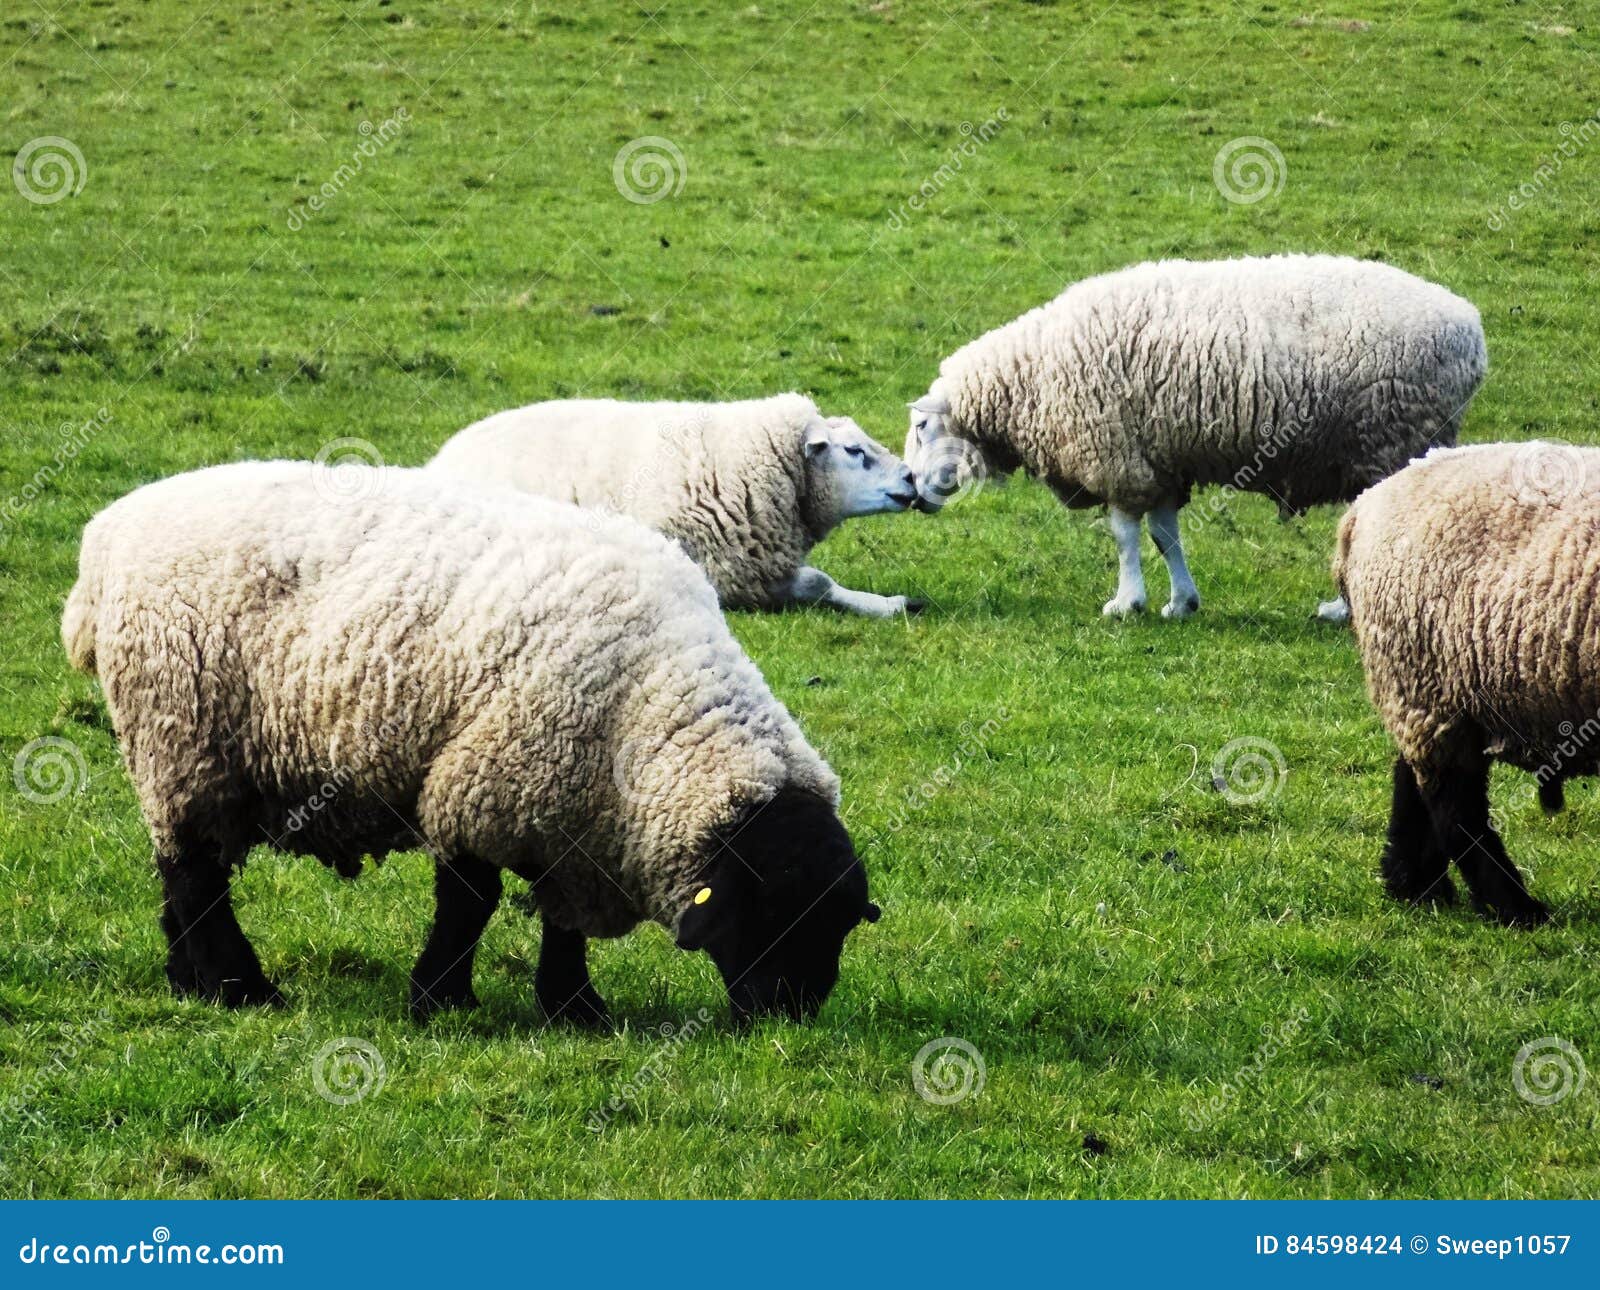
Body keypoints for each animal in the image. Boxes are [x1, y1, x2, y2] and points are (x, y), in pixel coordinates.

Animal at [63, 461, 881, 1022]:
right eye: (771, 913)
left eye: (839, 927)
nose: (788, 1019)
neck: (648, 706)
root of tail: (106, 538)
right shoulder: (481, 785)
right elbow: (472, 901)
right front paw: (442, 998)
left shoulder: (566, 814)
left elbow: (558, 917)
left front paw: (574, 1007)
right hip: (181, 739)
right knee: (196, 876)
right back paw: (242, 988)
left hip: (182, 759)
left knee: (180, 867)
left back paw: (189, 981)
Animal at [428, 392, 924, 618]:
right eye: (854, 452)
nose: (911, 478)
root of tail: (440, 459)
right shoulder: (721, 570)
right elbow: (817, 581)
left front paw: (891, 603)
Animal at [901, 254, 1487, 621]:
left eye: (922, 427)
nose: (911, 489)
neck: (1027, 378)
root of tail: (1471, 329)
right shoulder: (1157, 462)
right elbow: (1165, 536)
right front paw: (1181, 602)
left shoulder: (1117, 455)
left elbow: (1124, 536)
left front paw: (1126, 603)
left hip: (1394, 439)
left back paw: (1344, 610)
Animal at [1330, 440, 1600, 927]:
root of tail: (1366, 503)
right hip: (1427, 680)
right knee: (1455, 806)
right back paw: (1515, 907)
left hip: (1422, 691)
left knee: (1411, 778)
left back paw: (1415, 886)